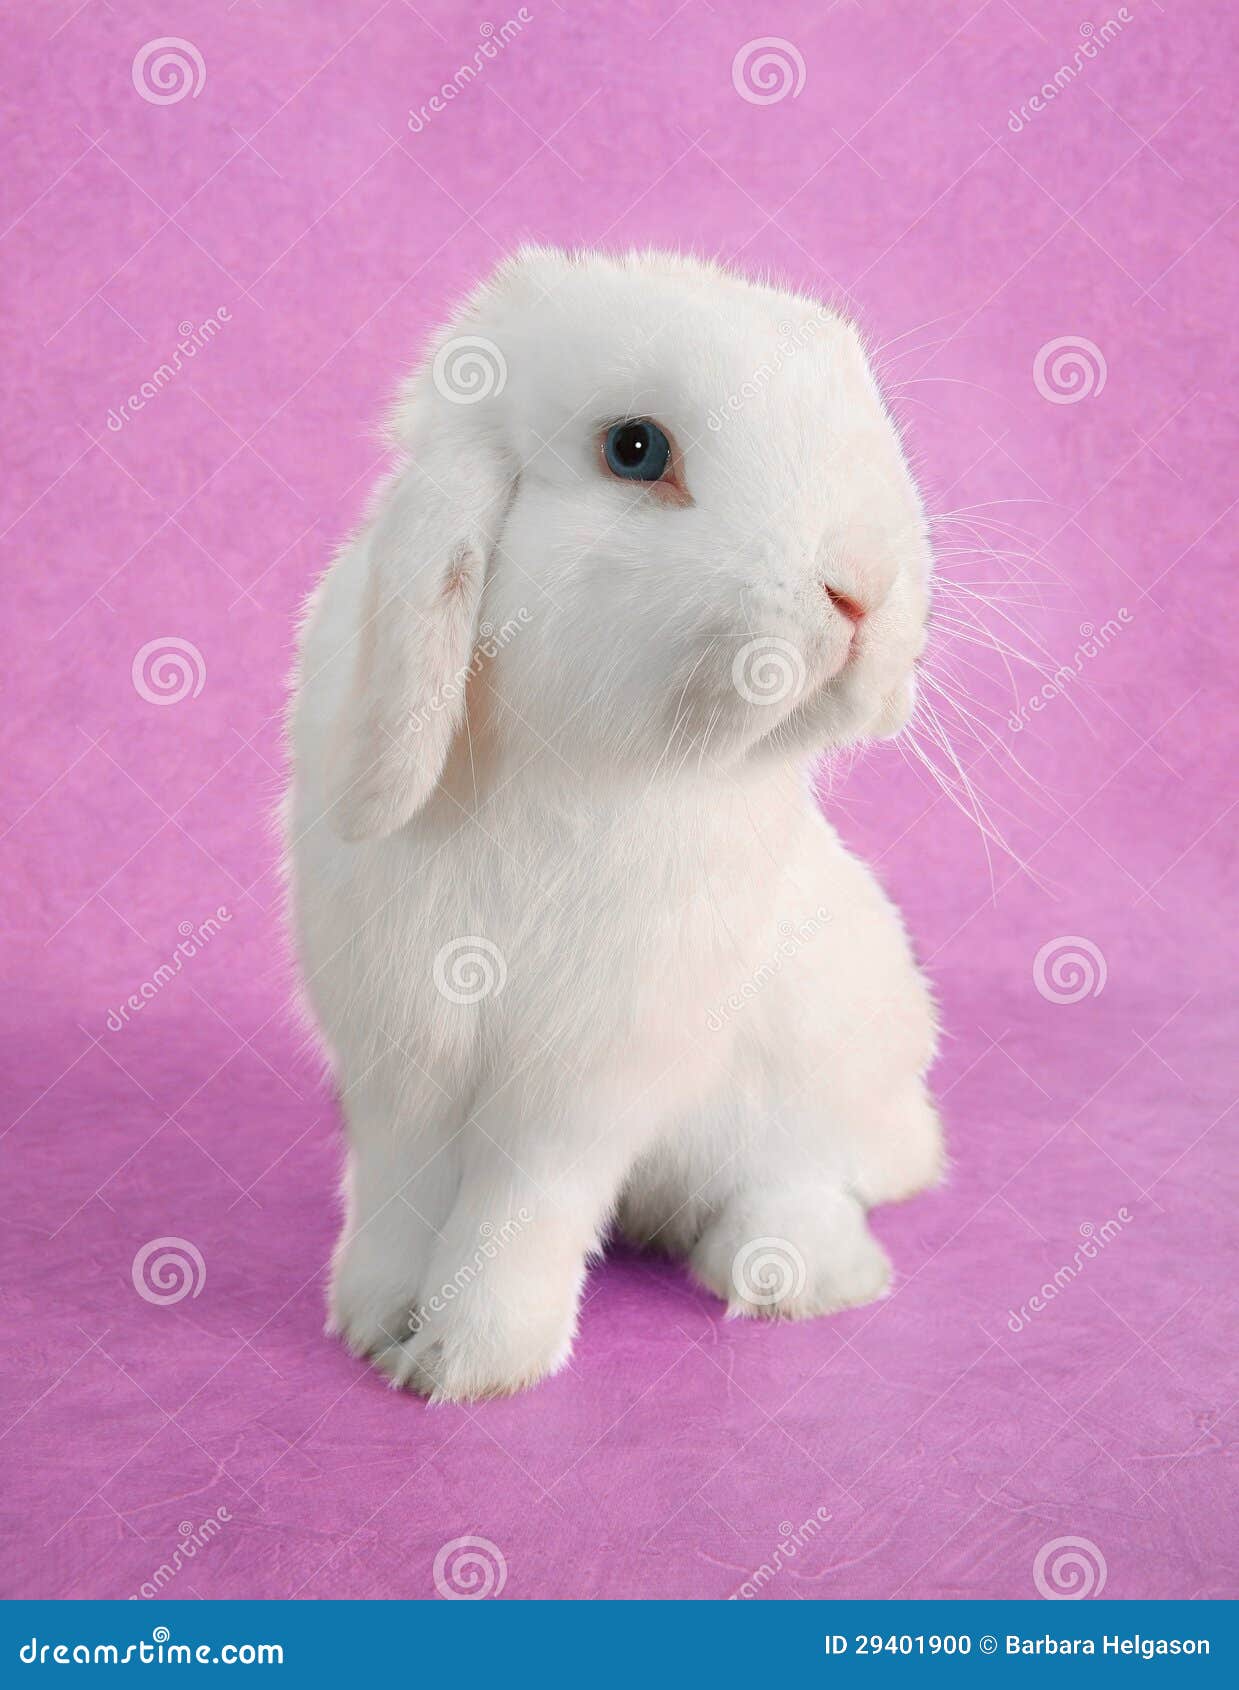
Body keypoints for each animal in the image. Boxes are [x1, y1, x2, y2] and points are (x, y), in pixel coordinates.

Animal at [285, 246, 944, 1402]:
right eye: (635, 450)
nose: (864, 590)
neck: (575, 760)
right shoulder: (404, 1054)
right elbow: (404, 1189)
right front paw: (373, 1326)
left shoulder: (580, 1078)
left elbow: (518, 1209)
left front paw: (468, 1363)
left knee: (813, 1179)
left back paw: (794, 1274)